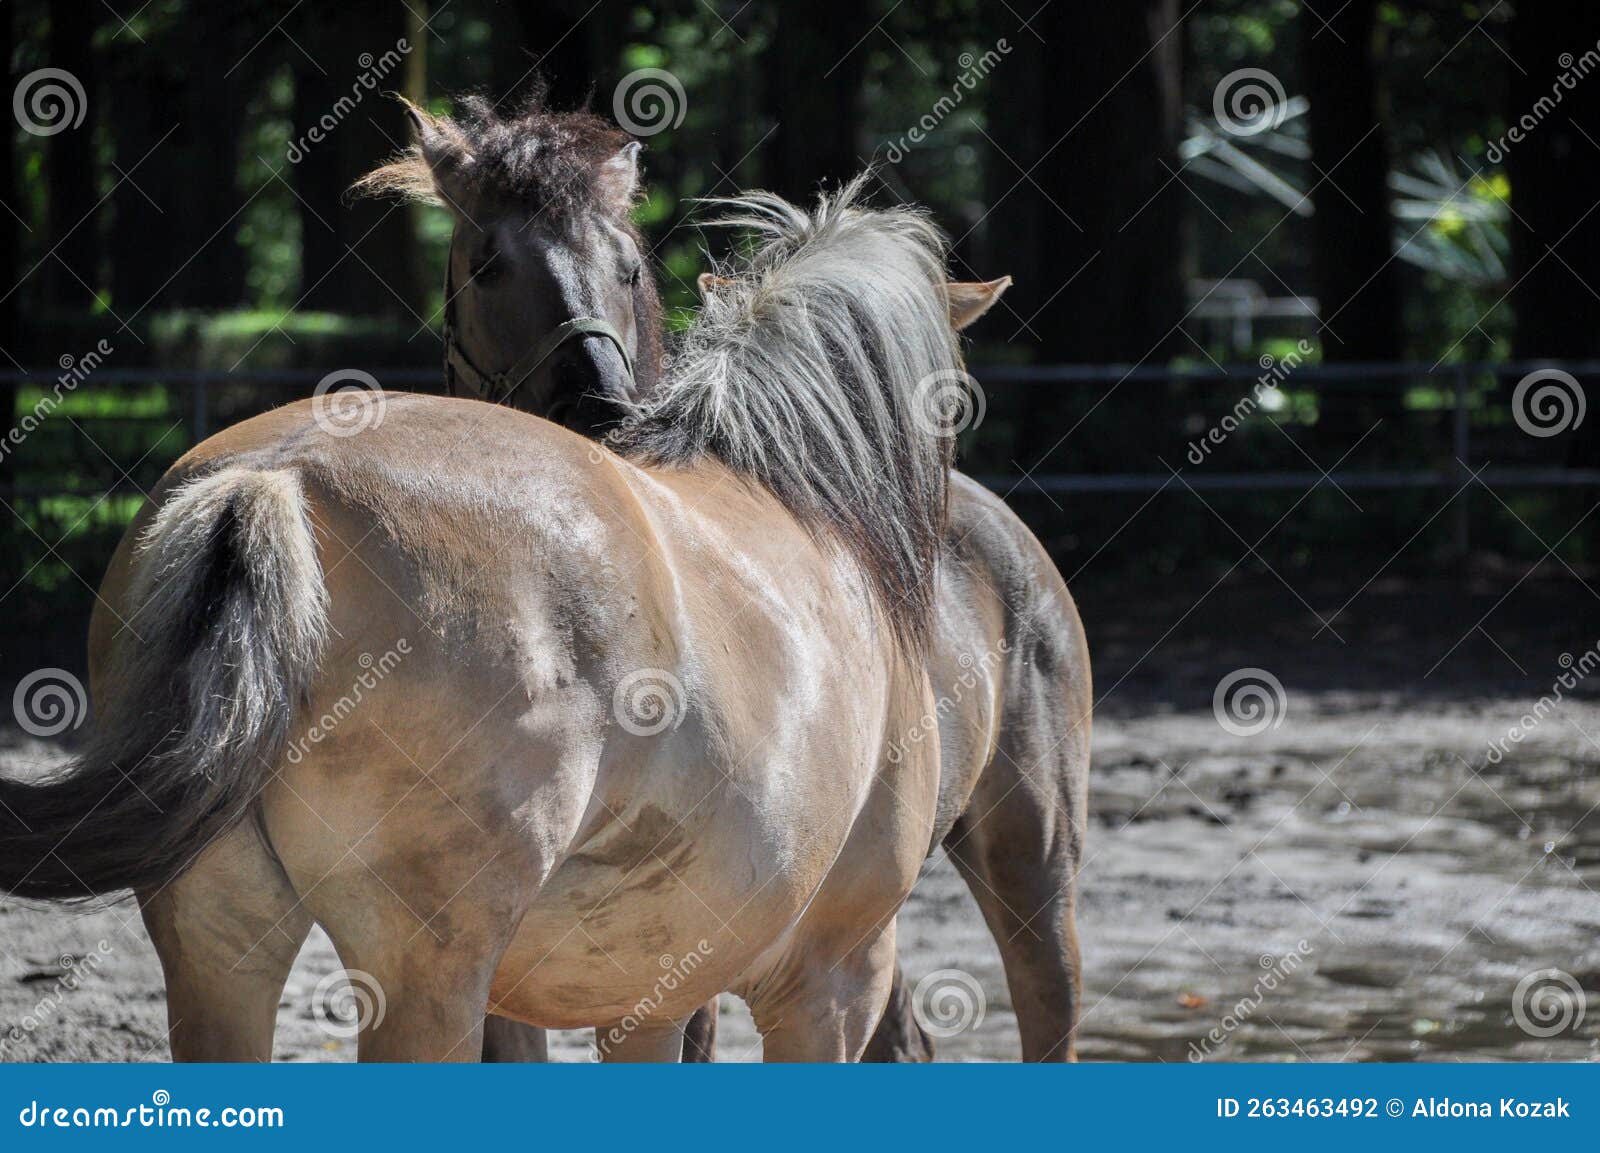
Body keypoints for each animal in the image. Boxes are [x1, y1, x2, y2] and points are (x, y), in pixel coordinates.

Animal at [0, 181, 1000, 1062]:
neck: (808, 501)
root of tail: (278, 475)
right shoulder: (830, 984)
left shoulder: (648, 1000)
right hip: (425, 980)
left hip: (216, 948)